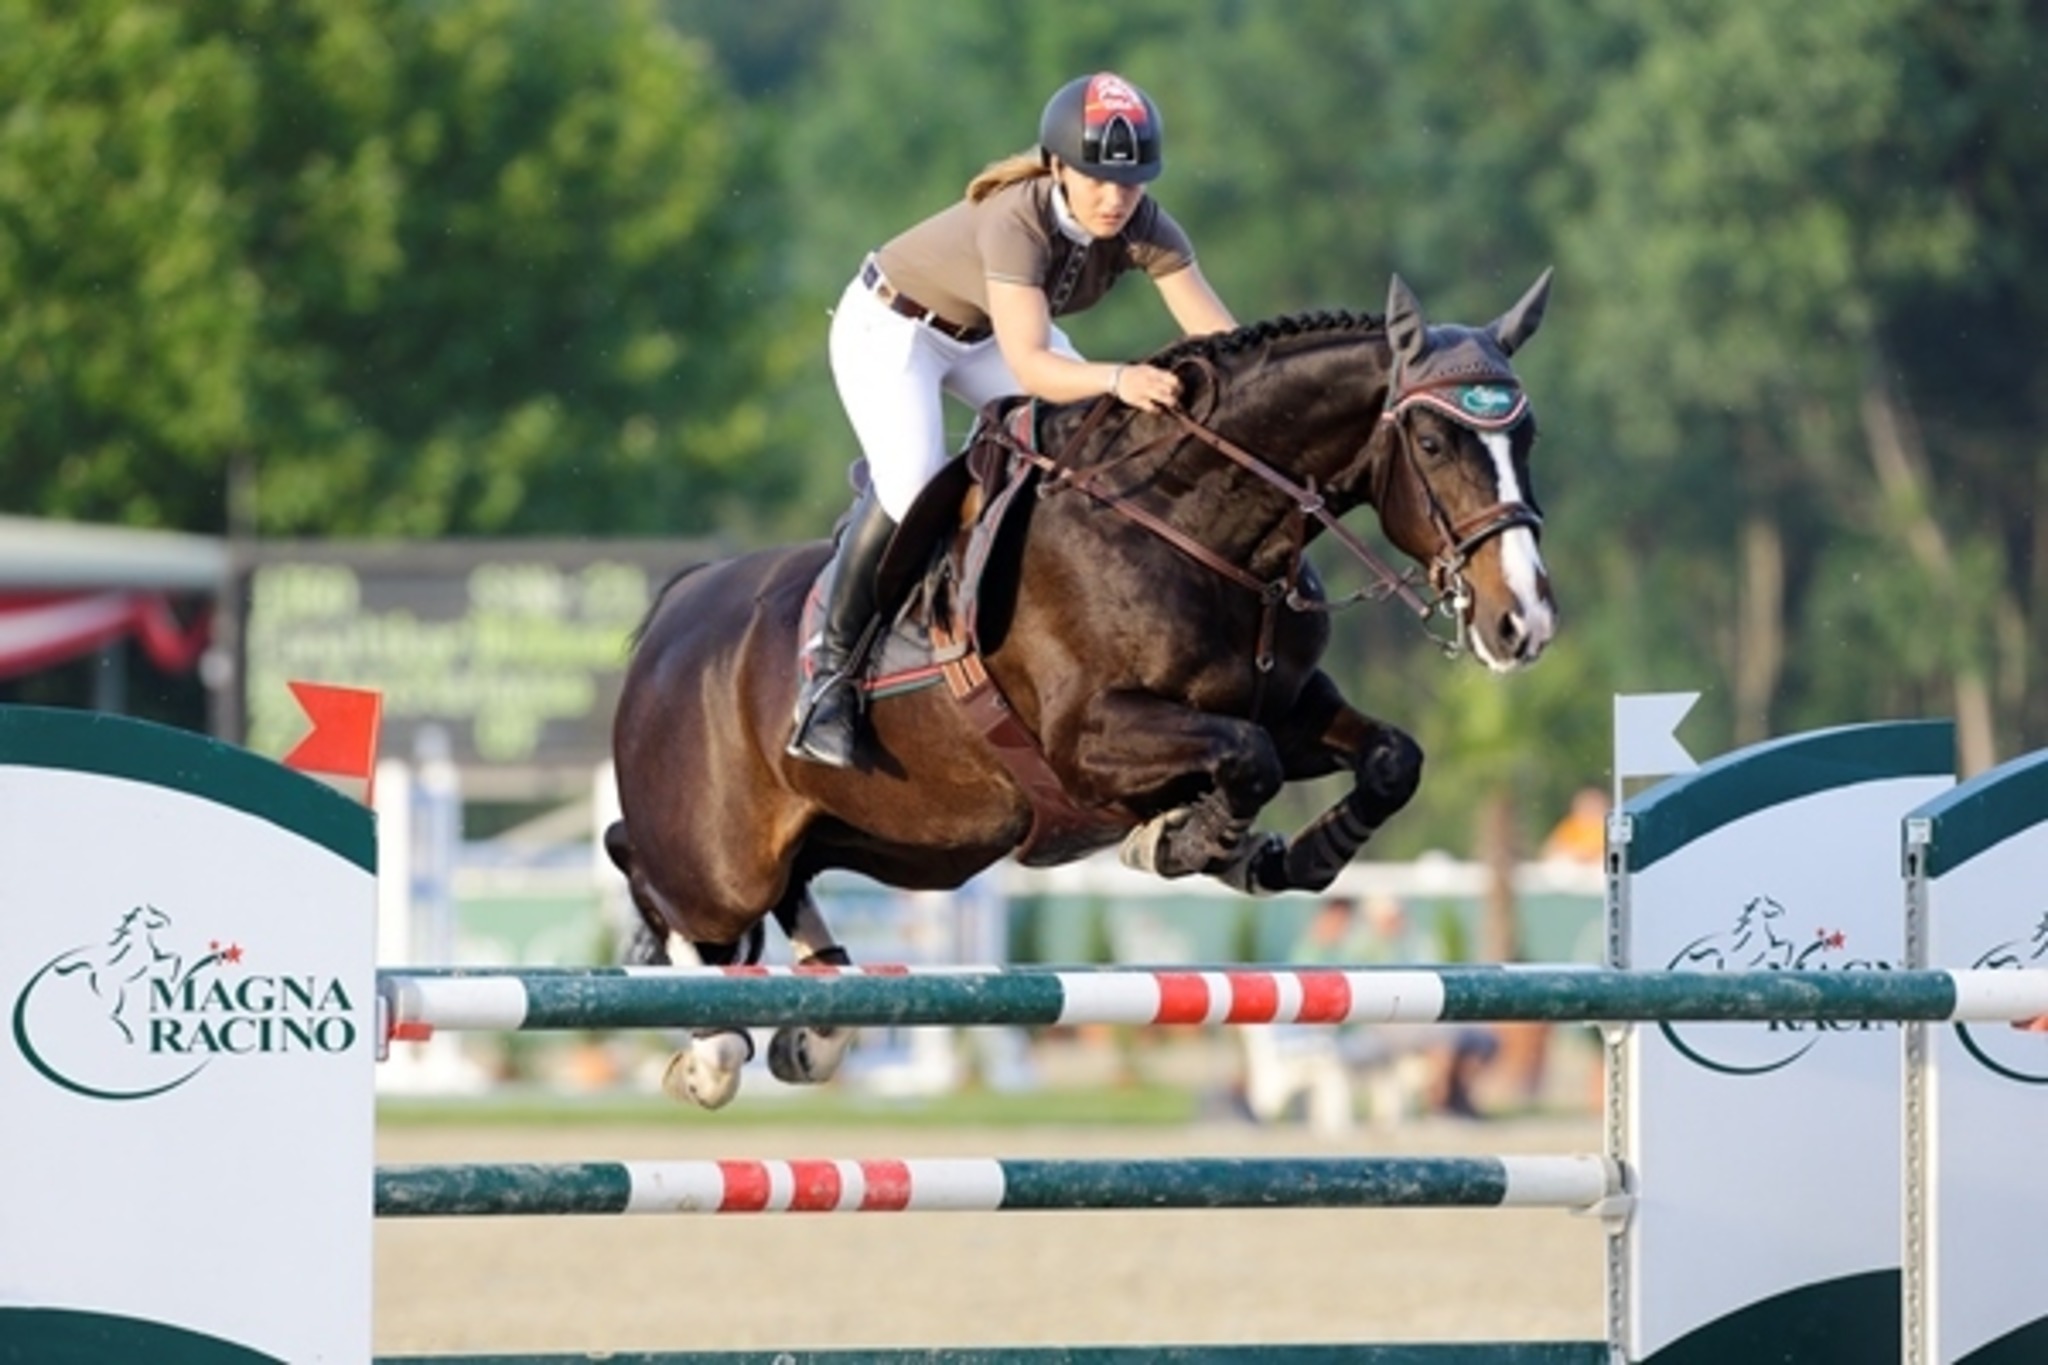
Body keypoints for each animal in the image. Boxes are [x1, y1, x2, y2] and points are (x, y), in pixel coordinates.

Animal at [607, 271, 1558, 1107]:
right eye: (1431, 443)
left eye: (1528, 439)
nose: (1526, 622)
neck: (1195, 525)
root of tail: (673, 614)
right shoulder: (1090, 738)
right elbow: (1243, 760)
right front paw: (1184, 841)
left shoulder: (1289, 709)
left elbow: (1392, 757)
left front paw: (1296, 855)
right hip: (719, 858)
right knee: (648, 870)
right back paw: (711, 1047)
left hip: (876, 836)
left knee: (780, 889)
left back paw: (818, 1021)